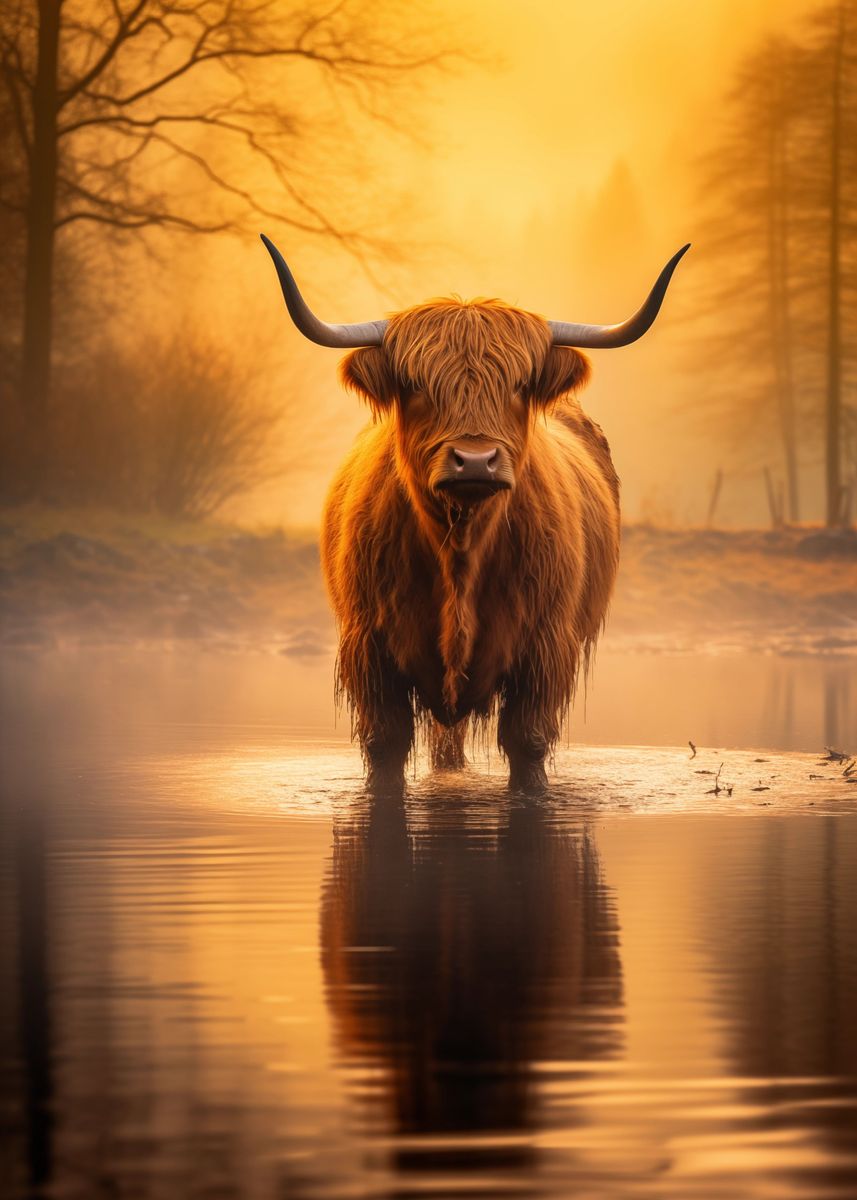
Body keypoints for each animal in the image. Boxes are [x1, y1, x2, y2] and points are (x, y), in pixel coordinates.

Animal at [262, 236, 688, 791]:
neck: (460, 551)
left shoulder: (544, 648)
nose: (476, 460)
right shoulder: (370, 649)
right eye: (416, 385)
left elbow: (528, 743)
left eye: (519, 384)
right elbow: (385, 746)